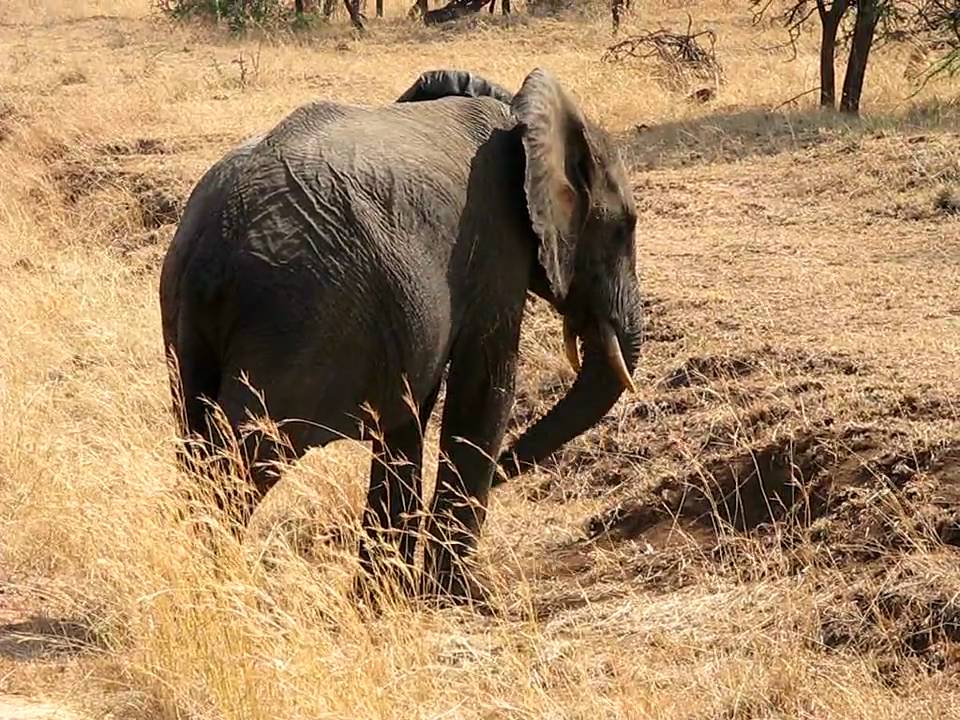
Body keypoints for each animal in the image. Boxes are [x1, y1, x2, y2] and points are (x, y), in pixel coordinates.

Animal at [159, 67, 643, 605]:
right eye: (625, 228)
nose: (506, 471)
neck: (519, 115)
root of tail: (218, 237)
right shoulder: (497, 245)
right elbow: (485, 388)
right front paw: (459, 599)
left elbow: (413, 412)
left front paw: (382, 597)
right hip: (295, 316)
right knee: (242, 459)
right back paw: (217, 593)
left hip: (190, 320)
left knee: (195, 435)